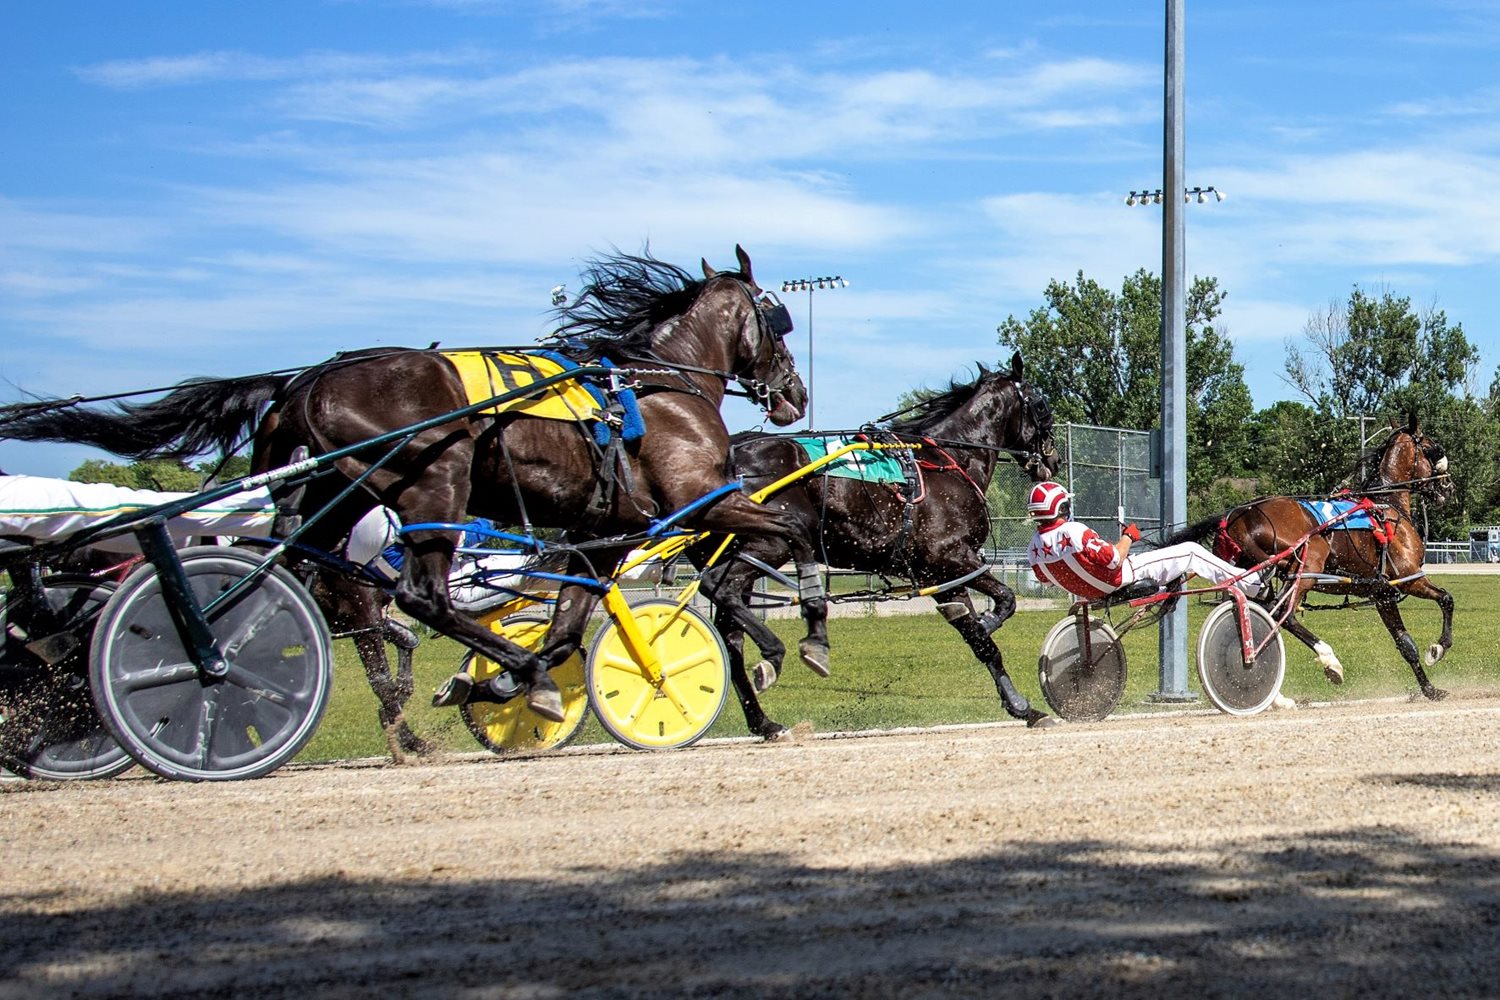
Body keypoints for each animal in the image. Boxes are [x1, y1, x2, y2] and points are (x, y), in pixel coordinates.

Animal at [0, 246, 811, 726]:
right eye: (776, 321)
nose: (795, 396)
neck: (657, 385)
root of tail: (306, 380)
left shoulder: (600, 534)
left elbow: (568, 624)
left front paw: (500, 684)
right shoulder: (702, 499)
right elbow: (785, 539)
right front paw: (788, 642)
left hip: (346, 493)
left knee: (299, 572)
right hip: (433, 485)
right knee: (418, 597)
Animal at [692, 353, 1061, 738]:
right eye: (1041, 404)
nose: (1054, 460)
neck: (945, 461)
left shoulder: (939, 576)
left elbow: (982, 636)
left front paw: (1024, 708)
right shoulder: (952, 558)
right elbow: (1004, 603)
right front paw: (989, 627)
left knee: (731, 637)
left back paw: (764, 721)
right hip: (769, 542)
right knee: (719, 587)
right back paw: (779, 653)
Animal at [1168, 419, 1454, 700]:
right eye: (1433, 448)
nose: (1447, 486)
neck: (1386, 507)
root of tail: (1237, 516)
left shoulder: (1381, 593)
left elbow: (1405, 644)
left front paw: (1429, 688)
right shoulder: (1408, 579)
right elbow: (1446, 599)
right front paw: (1438, 649)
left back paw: (1278, 696)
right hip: (1306, 567)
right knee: (1283, 614)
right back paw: (1327, 661)